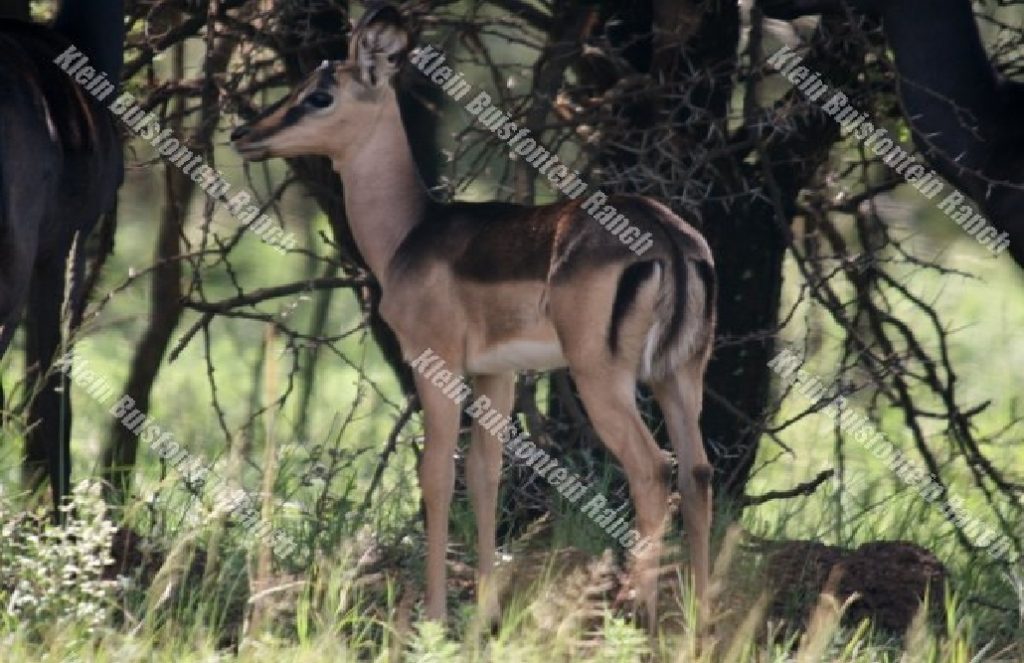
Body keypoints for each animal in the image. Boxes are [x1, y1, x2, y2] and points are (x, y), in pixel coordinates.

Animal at [231, 2, 716, 625]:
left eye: (320, 95)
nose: (244, 135)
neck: (409, 233)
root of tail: (668, 239)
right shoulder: (496, 373)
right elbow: (487, 476)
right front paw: (483, 616)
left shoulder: (434, 363)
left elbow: (438, 474)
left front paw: (436, 614)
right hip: (678, 374)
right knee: (698, 472)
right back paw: (698, 622)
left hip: (601, 377)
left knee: (652, 468)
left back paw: (640, 618)